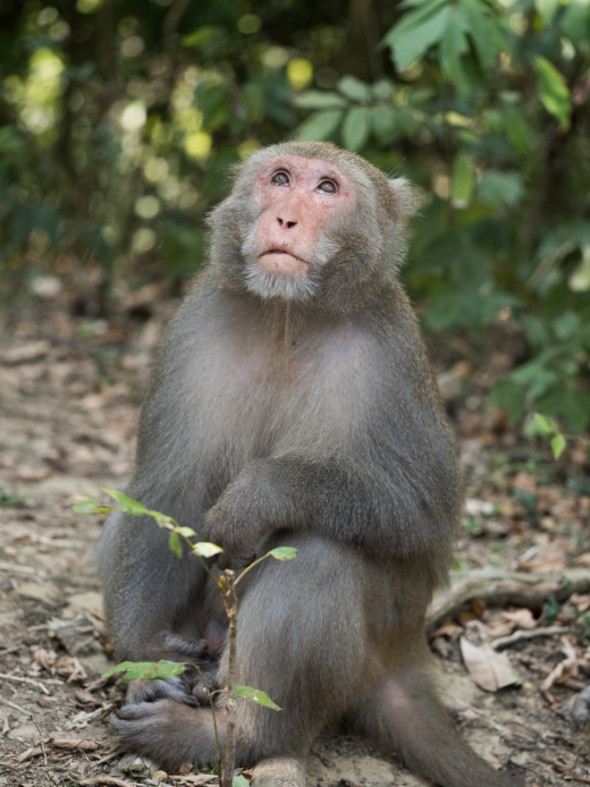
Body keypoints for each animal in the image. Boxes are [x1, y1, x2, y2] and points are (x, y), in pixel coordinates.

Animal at [97, 141, 512, 787]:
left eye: (326, 189)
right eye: (280, 178)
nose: (286, 218)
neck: (288, 316)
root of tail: (405, 654)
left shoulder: (392, 356)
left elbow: (426, 518)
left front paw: (257, 496)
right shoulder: (193, 328)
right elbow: (164, 491)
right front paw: (143, 656)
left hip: (362, 653)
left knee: (319, 552)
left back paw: (233, 737)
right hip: (210, 634)